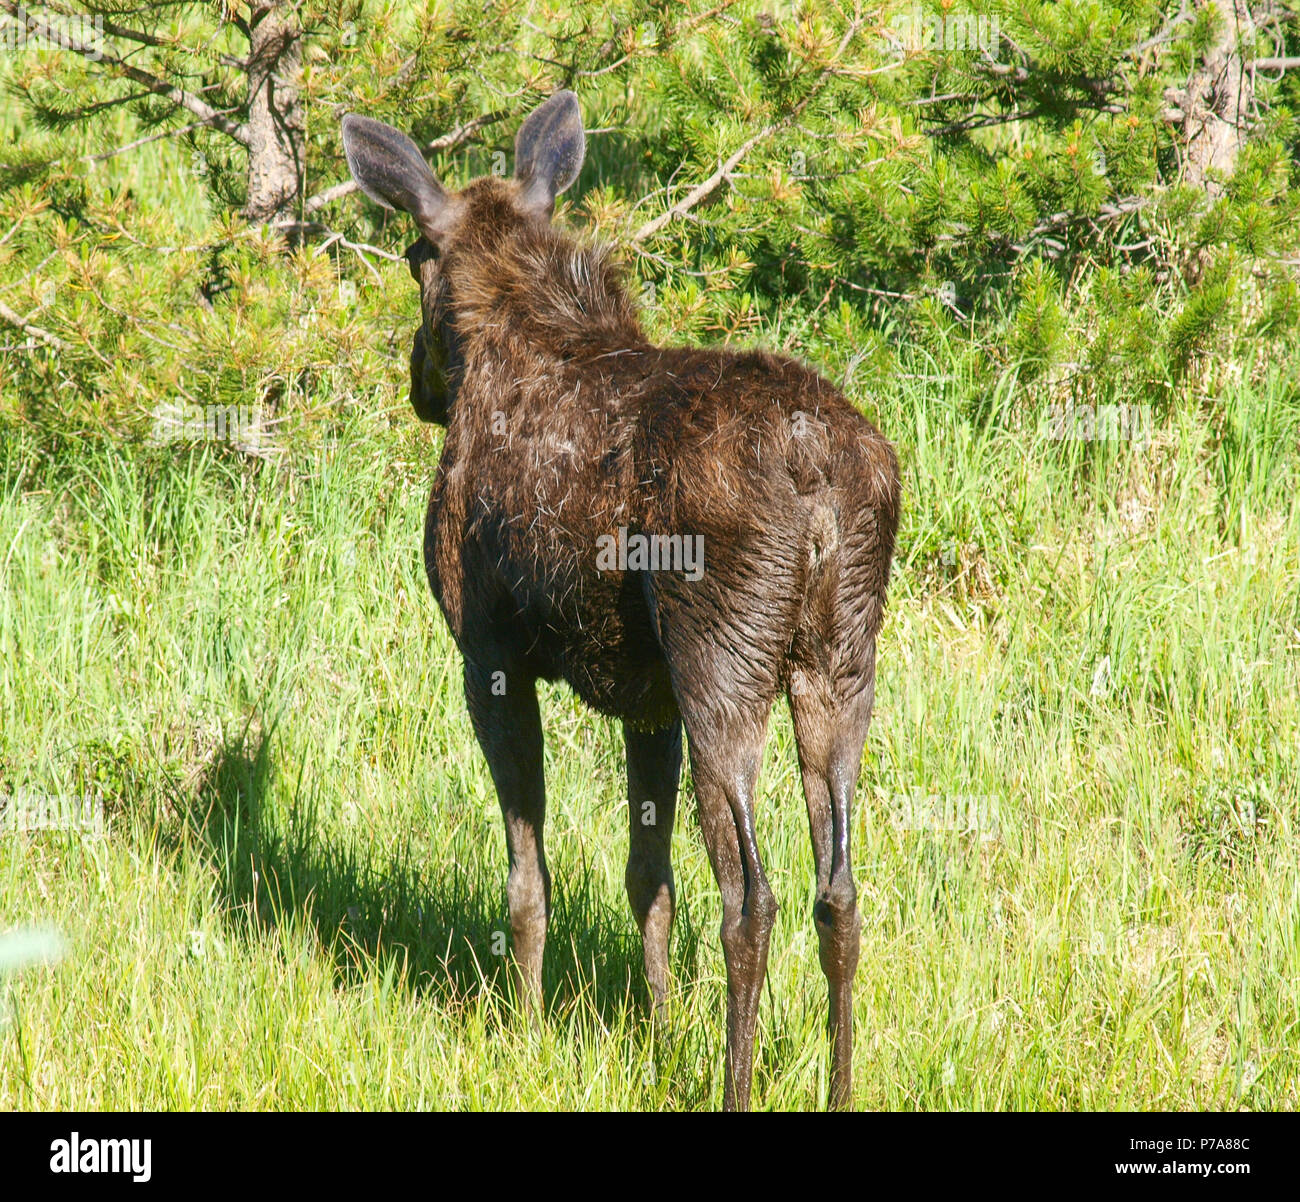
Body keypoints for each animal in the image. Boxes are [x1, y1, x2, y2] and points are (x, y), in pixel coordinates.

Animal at [340, 91, 900, 1111]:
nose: (416, 385)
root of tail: (815, 472)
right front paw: (657, 1031)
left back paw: (735, 1087)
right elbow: (650, 877)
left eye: (411, 255)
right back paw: (841, 1089)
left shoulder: (488, 653)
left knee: (752, 897)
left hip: (724, 655)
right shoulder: (650, 699)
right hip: (839, 658)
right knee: (838, 889)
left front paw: (523, 1032)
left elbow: (529, 877)